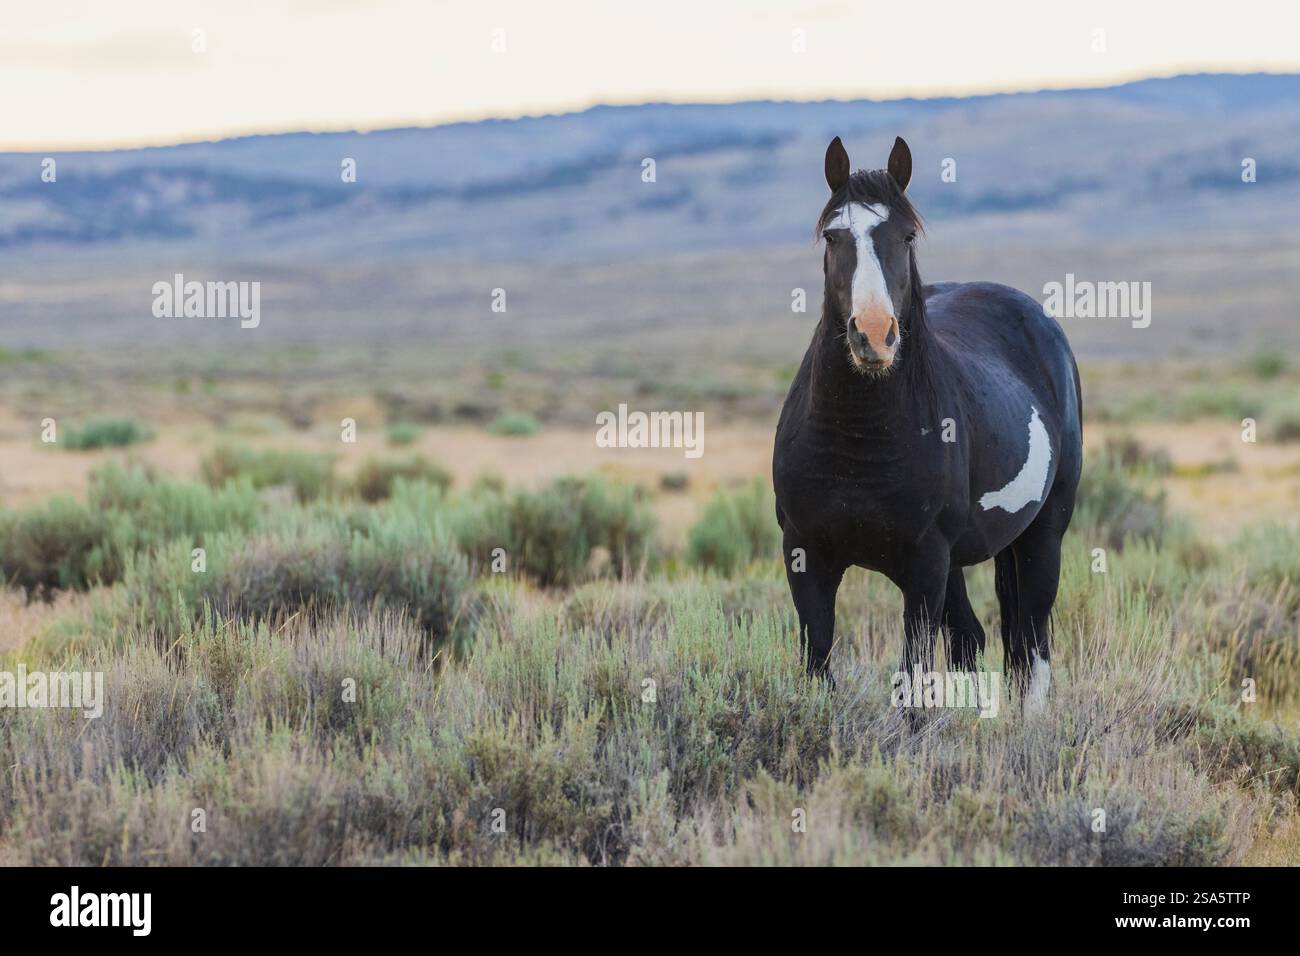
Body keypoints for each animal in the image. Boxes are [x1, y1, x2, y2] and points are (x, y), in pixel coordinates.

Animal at [772, 135, 1082, 709]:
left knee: (1032, 647)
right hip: (961, 562)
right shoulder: (806, 557)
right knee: (971, 641)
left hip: (1044, 532)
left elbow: (913, 685)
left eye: (907, 235)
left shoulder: (924, 566)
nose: (874, 336)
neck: (857, 438)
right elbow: (818, 667)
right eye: (833, 235)